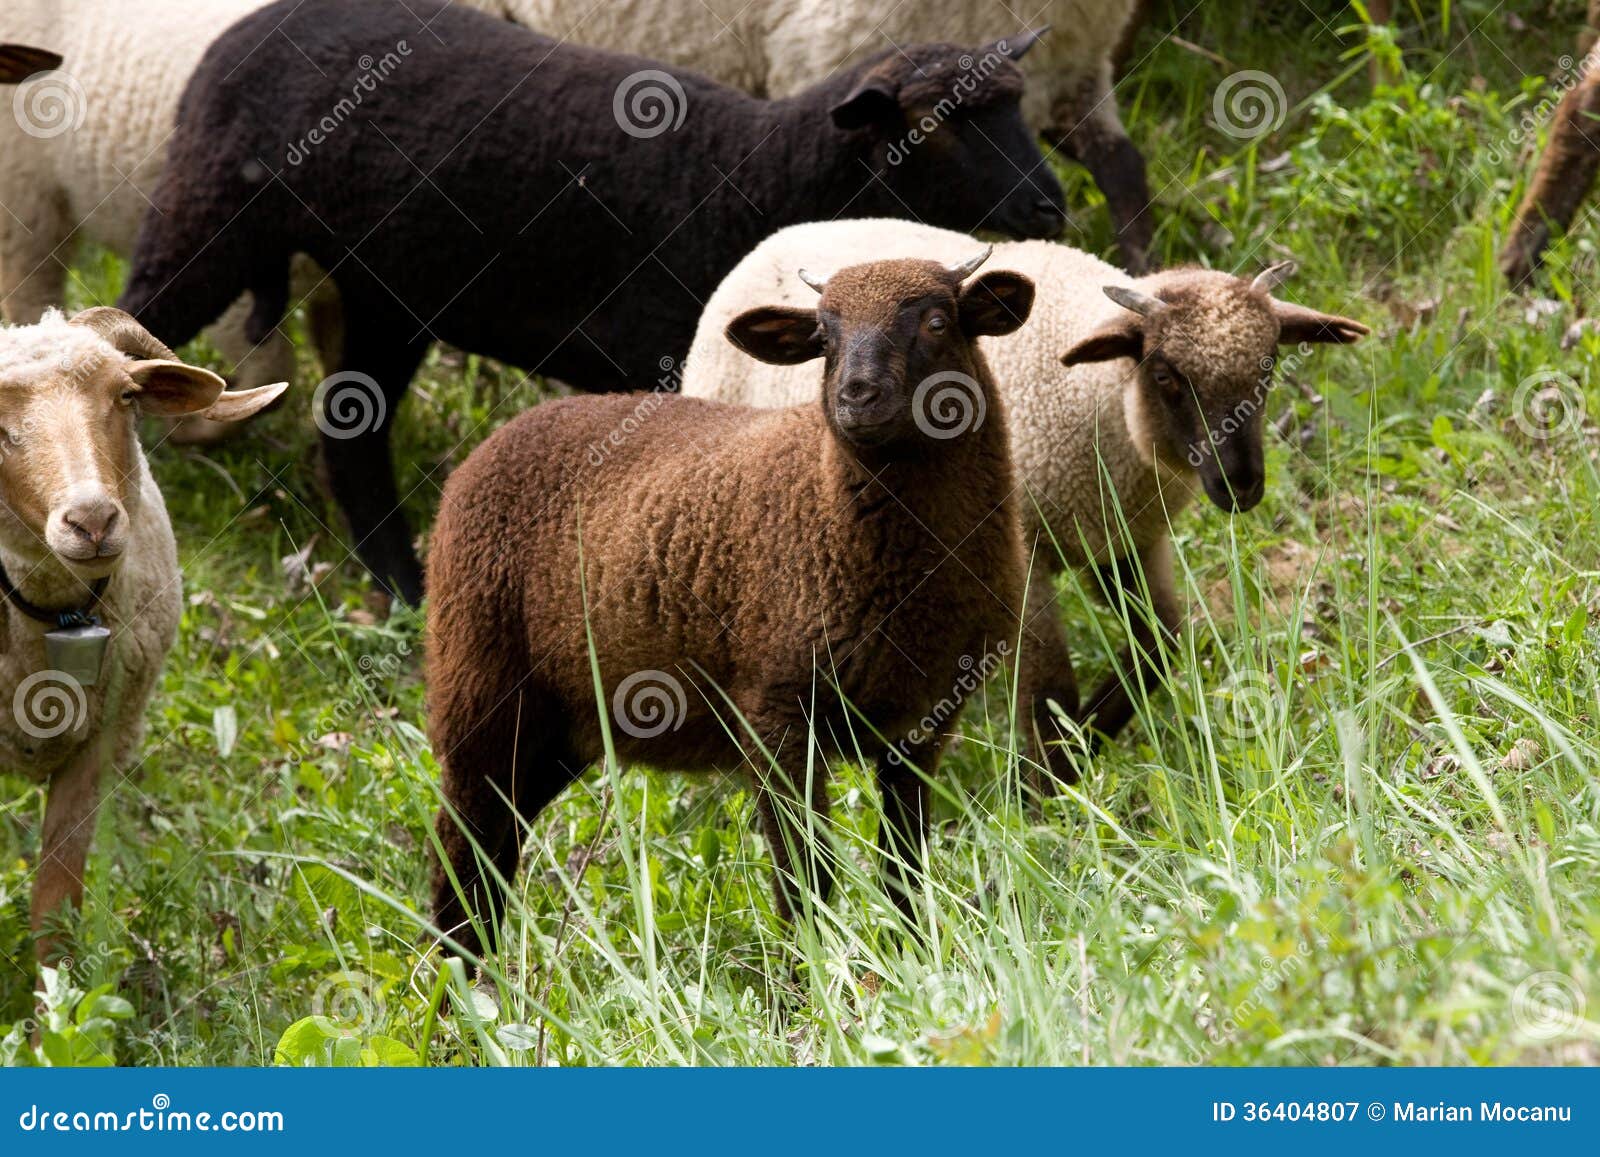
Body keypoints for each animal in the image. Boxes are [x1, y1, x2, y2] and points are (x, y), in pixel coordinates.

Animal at [118, 0, 1069, 607]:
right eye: (940, 124)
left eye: (1016, 109)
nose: (1051, 206)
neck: (757, 179)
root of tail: (250, 25)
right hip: (209, 210)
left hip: (389, 282)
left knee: (352, 433)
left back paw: (400, 588)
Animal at [428, 253, 1039, 957]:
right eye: (823, 337)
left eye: (938, 322)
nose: (855, 397)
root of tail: (483, 451)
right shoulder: (772, 710)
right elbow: (804, 880)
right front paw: (808, 984)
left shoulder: (925, 721)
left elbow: (905, 870)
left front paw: (912, 959)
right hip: (479, 685)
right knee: (460, 851)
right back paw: (458, 984)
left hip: (559, 724)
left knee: (494, 855)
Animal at [681, 220, 1369, 773]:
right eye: (1167, 375)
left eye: (1269, 365)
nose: (1242, 487)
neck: (1101, 399)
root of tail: (770, 241)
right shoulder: (1027, 554)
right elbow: (1048, 689)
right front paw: (1049, 783)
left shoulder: (1127, 541)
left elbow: (1161, 645)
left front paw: (1088, 741)